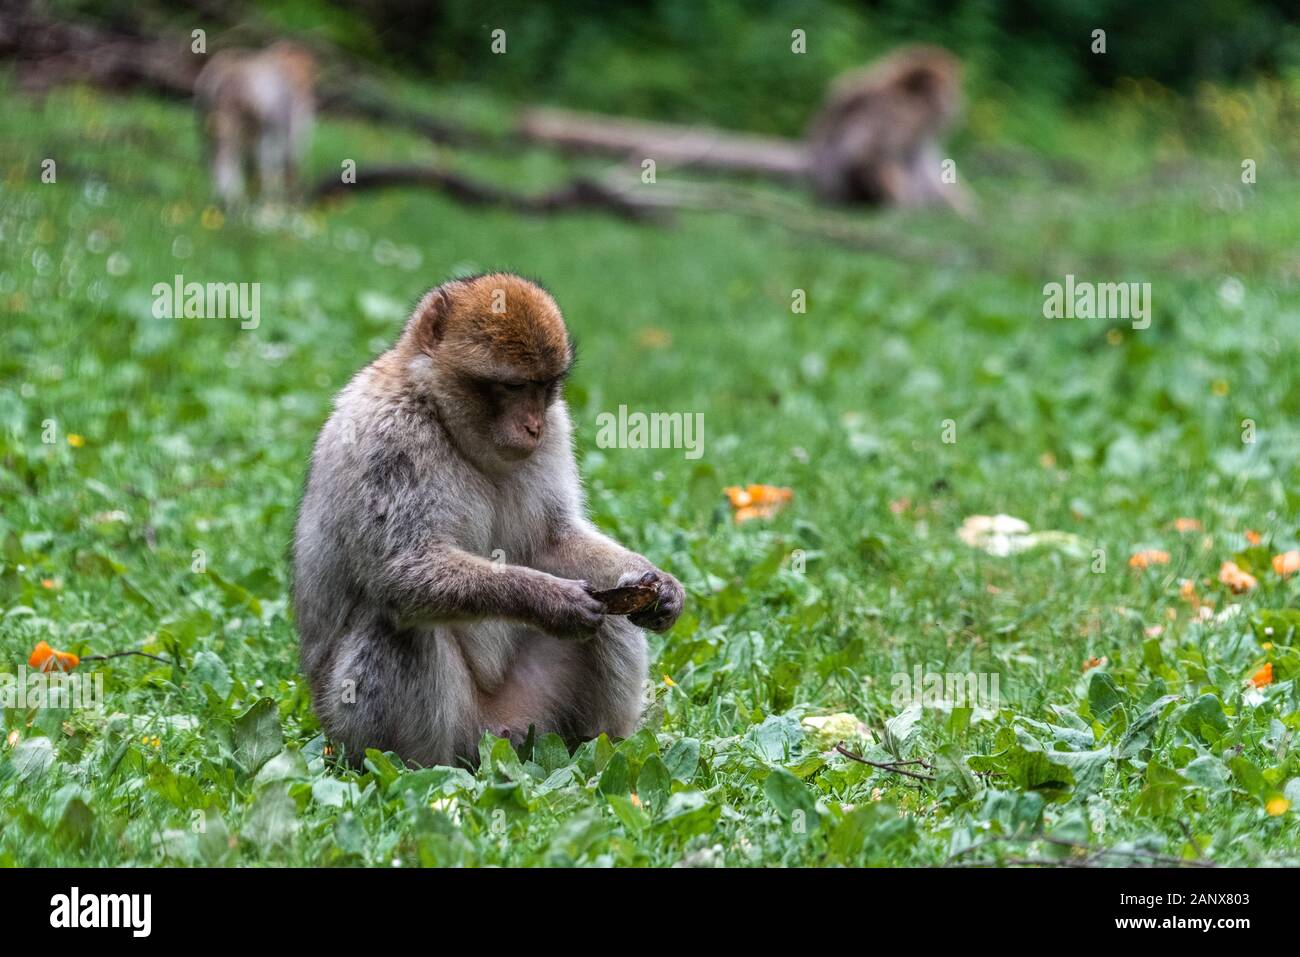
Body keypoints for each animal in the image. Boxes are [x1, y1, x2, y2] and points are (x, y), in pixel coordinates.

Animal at [193, 41, 315, 204]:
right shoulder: (291, 125)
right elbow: (287, 158)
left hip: (211, 120)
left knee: (219, 157)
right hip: (261, 123)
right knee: (261, 162)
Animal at [292, 272, 685, 769]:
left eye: (544, 386)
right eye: (513, 387)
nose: (534, 426)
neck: (439, 414)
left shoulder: (557, 430)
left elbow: (554, 541)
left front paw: (661, 585)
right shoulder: (387, 439)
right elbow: (405, 568)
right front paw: (551, 601)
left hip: (533, 716)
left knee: (613, 616)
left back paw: (602, 749)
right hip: (372, 729)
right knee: (395, 618)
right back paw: (417, 771)